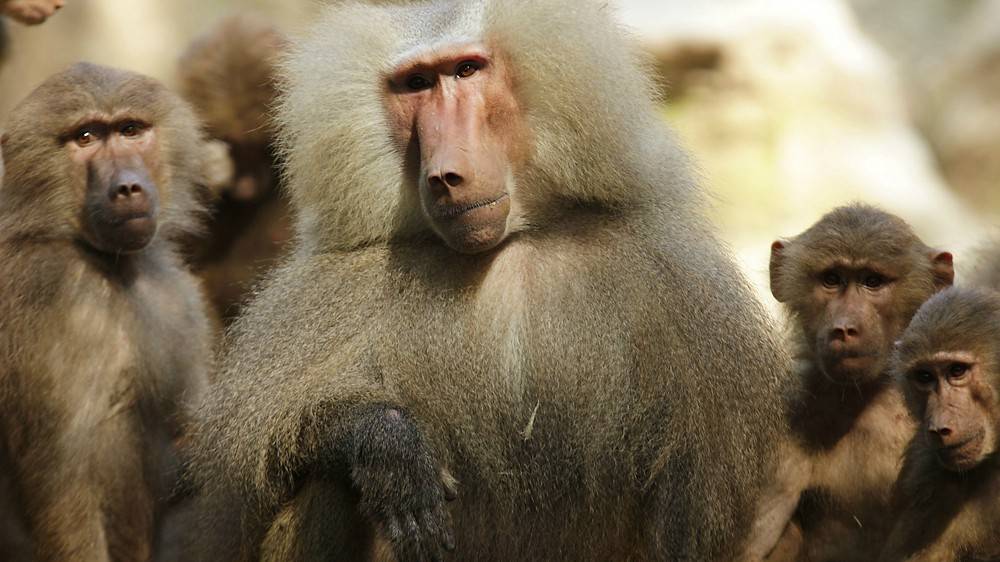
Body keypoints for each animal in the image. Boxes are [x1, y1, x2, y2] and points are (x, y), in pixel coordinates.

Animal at [0, 62, 213, 561]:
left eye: (131, 130)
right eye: (86, 136)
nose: (127, 187)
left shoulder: (174, 297)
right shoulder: (54, 295)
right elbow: (59, 483)